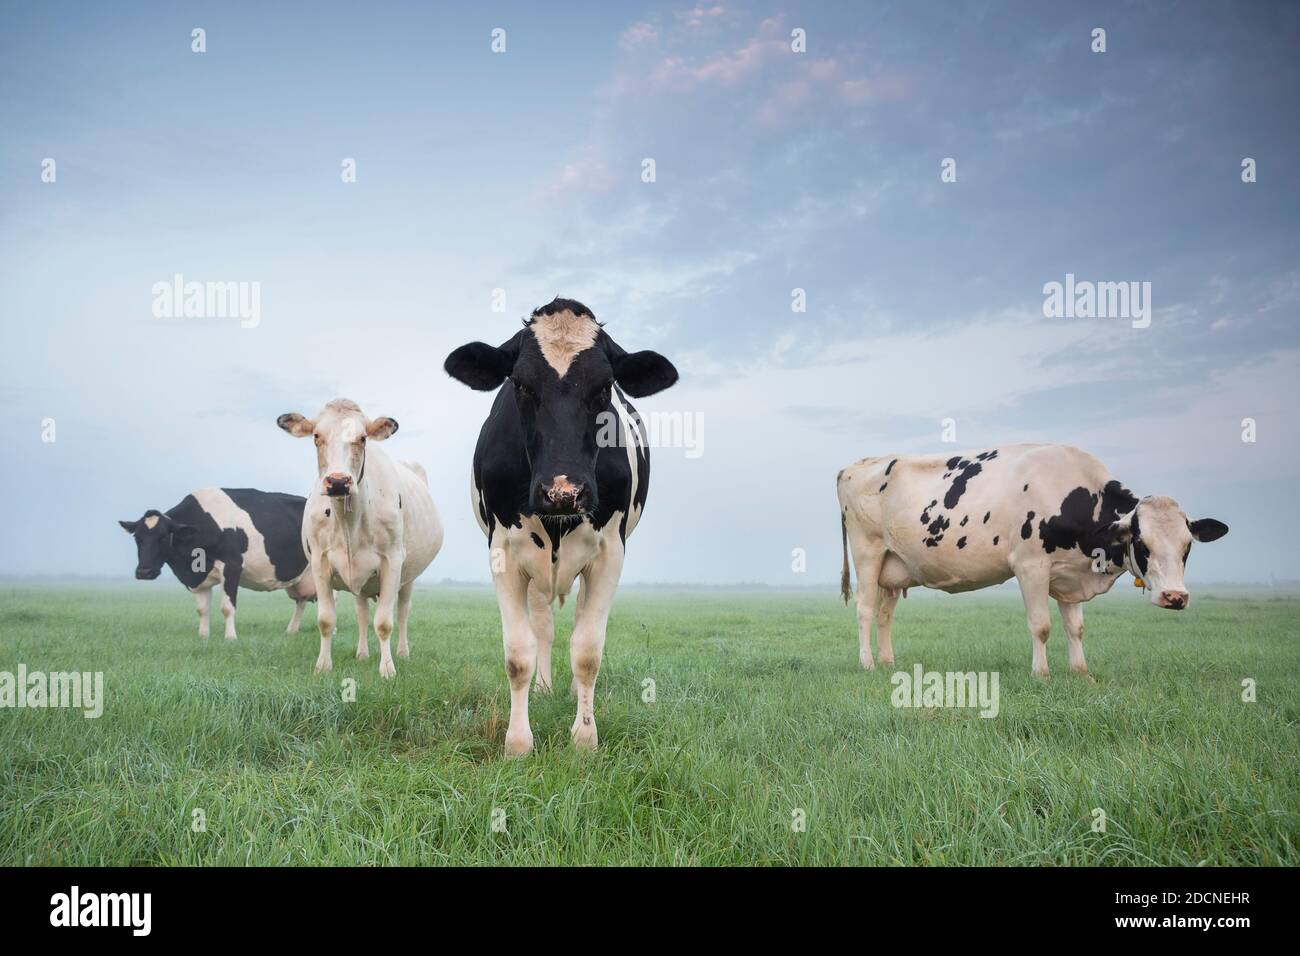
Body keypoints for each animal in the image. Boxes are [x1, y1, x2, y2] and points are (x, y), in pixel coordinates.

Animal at [119, 489, 317, 639]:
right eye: (137, 538)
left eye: (163, 537)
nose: (144, 572)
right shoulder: (199, 577)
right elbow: (202, 609)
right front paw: (203, 636)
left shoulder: (232, 566)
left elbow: (227, 607)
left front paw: (230, 637)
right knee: (301, 600)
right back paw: (291, 631)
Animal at [276, 399, 443, 678]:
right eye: (316, 436)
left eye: (363, 438)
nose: (338, 481)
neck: (349, 522)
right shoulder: (320, 562)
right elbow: (326, 620)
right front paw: (323, 665)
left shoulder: (392, 561)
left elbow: (385, 622)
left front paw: (387, 669)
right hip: (362, 582)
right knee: (362, 614)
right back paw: (362, 654)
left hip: (408, 577)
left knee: (402, 612)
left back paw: (402, 652)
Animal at [443, 297, 678, 756]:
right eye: (520, 384)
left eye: (604, 387)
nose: (562, 491)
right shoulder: (503, 550)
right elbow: (519, 653)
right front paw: (518, 742)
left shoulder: (610, 552)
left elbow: (587, 650)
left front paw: (585, 737)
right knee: (544, 629)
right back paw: (545, 688)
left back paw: (570, 693)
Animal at [837, 443, 1229, 678]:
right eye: (1142, 543)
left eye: (1186, 546)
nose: (1175, 597)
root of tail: (855, 465)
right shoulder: (1030, 567)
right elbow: (1041, 626)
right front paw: (1041, 674)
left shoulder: (1070, 573)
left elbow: (1076, 627)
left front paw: (1080, 671)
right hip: (868, 553)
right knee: (865, 610)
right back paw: (867, 664)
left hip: (894, 566)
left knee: (885, 615)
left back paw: (888, 662)